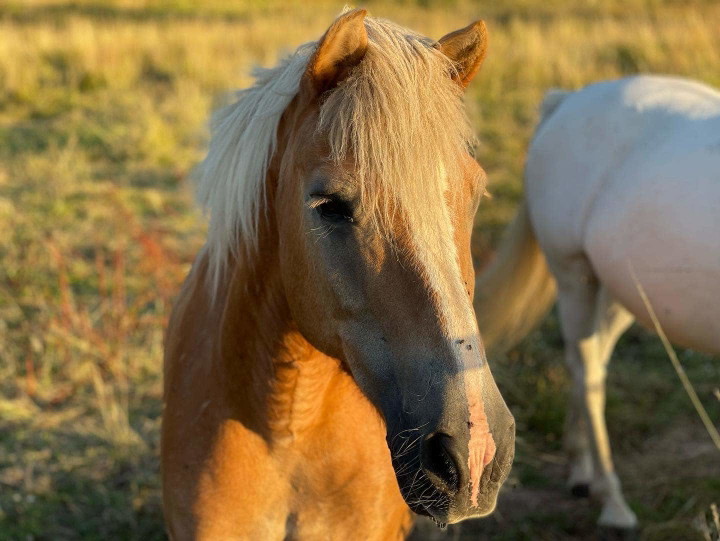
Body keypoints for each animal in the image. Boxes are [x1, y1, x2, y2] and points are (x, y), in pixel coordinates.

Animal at [474, 74, 720, 532]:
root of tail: (570, 99)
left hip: (619, 289)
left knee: (593, 361)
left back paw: (581, 472)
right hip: (574, 274)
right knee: (586, 370)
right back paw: (612, 503)